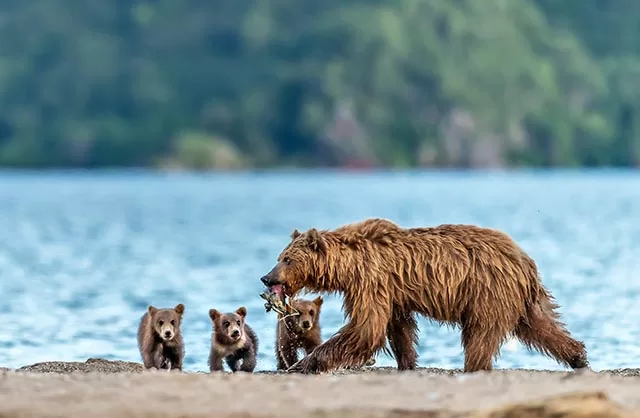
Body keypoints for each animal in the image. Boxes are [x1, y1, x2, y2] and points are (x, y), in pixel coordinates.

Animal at [259, 217, 589, 374]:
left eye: (287, 259)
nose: (267, 277)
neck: (349, 265)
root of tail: (525, 261)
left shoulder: (372, 281)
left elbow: (366, 328)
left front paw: (306, 363)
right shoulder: (393, 292)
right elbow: (398, 327)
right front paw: (407, 361)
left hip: (488, 291)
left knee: (481, 334)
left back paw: (474, 365)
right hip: (520, 298)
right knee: (541, 326)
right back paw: (579, 356)